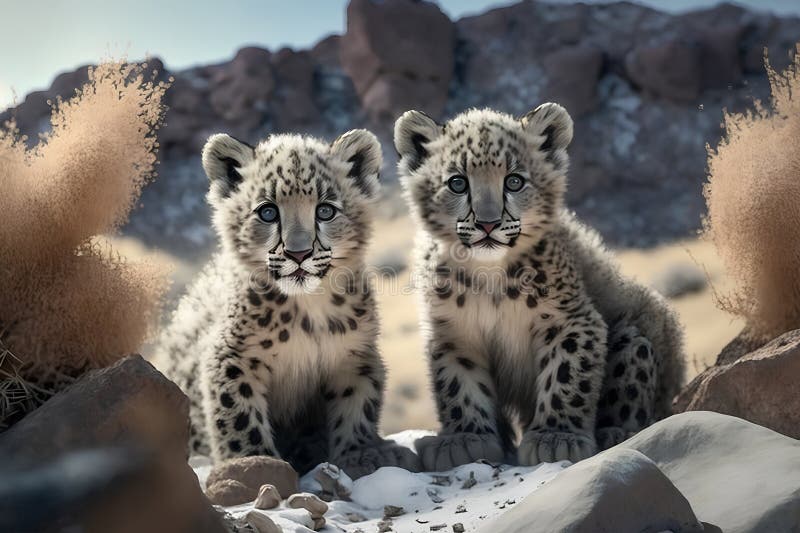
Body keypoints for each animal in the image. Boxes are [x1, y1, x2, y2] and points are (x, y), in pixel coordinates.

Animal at [155, 130, 419, 478]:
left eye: (325, 210)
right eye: (267, 211)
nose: (298, 252)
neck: (310, 312)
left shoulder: (354, 353)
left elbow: (358, 402)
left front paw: (362, 452)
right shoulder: (232, 356)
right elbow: (239, 414)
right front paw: (254, 461)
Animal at [394, 104, 685, 471]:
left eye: (515, 181)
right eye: (457, 183)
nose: (487, 223)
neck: (489, 278)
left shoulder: (570, 320)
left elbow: (566, 374)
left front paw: (556, 438)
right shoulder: (454, 332)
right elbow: (459, 384)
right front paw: (466, 440)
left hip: (637, 342)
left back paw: (615, 432)